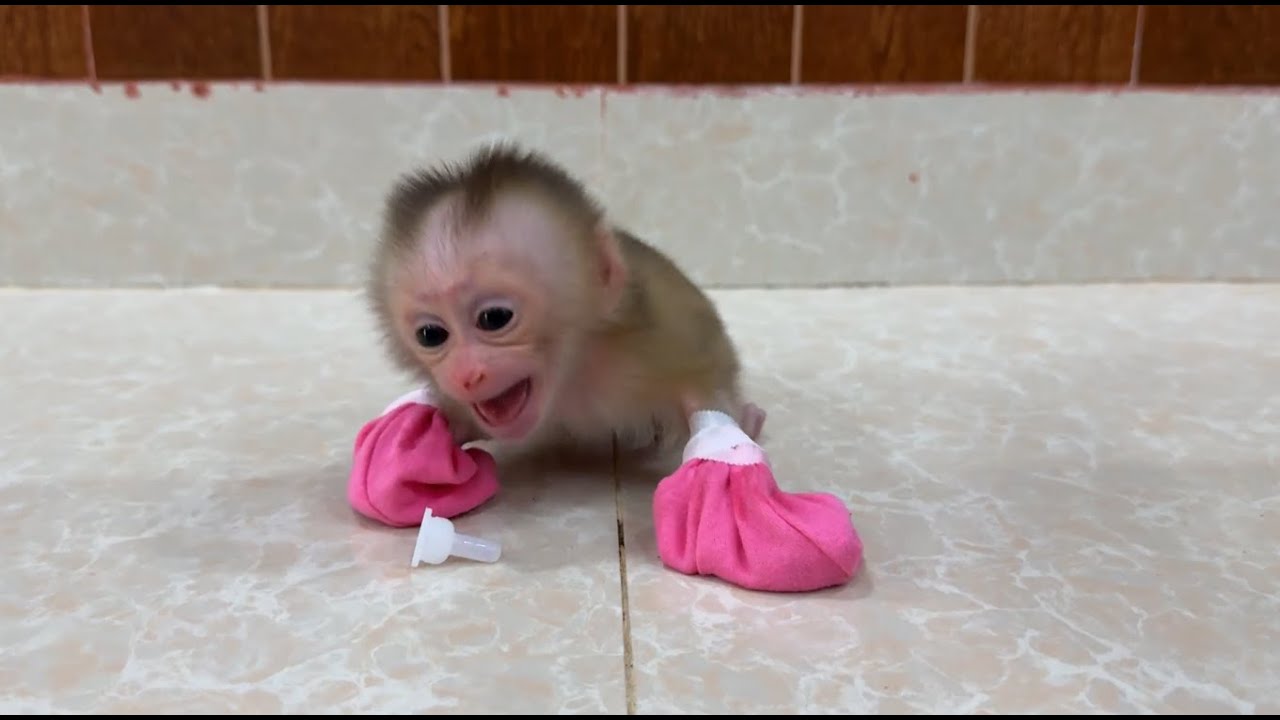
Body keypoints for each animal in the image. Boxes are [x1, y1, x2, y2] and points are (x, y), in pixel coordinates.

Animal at [365, 141, 766, 465]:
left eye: (494, 318)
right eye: (431, 335)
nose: (466, 375)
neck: (571, 374)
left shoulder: (664, 342)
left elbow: (705, 397)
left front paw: (726, 431)